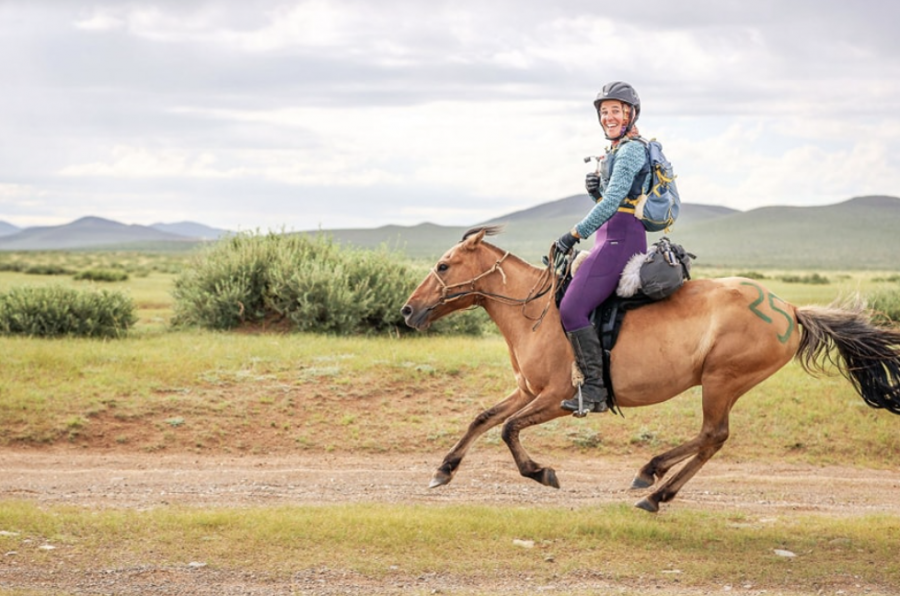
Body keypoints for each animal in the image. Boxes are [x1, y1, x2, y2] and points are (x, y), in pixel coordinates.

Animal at [400, 225, 900, 512]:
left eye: (443, 265)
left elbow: (509, 431)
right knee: (710, 439)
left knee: (713, 435)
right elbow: (483, 419)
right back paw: (655, 482)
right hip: (721, 384)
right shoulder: (527, 391)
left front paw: (542, 473)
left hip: (721, 380)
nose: (407, 310)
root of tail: (790, 309)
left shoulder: (557, 398)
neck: (534, 313)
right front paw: (443, 470)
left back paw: (654, 487)